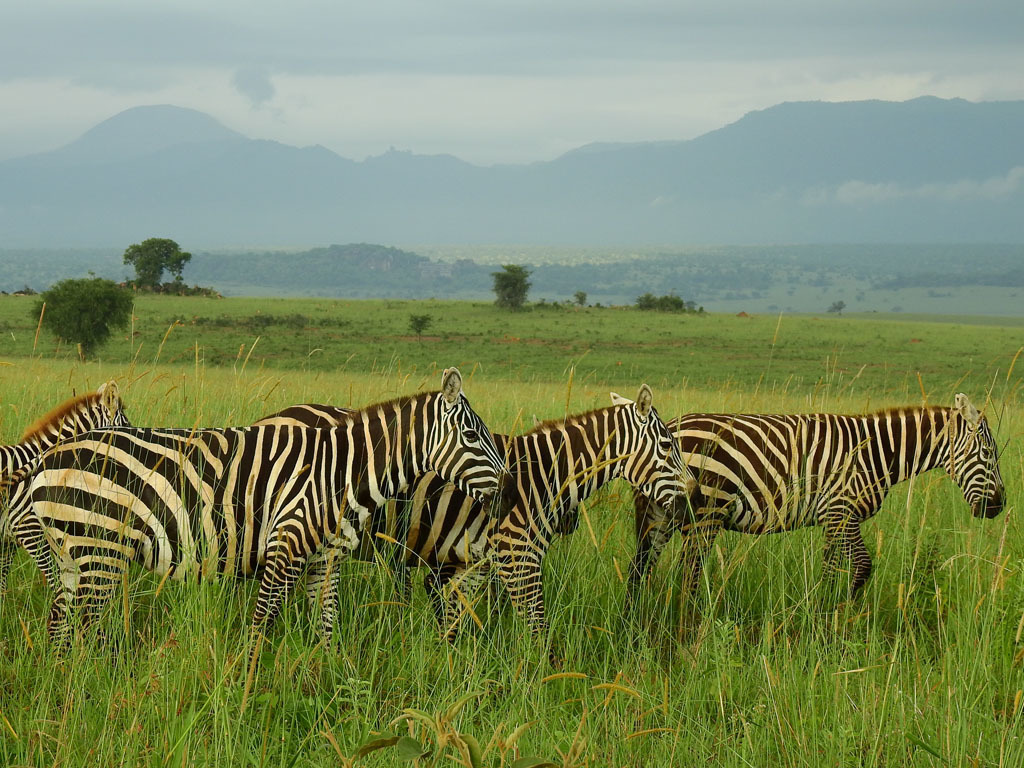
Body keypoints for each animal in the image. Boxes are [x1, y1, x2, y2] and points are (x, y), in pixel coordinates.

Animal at [28, 368, 507, 648]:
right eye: (470, 436)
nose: (507, 488)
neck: (340, 472)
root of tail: (44, 463)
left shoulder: (324, 560)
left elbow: (328, 628)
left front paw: (333, 690)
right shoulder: (285, 547)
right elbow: (261, 624)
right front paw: (244, 692)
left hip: (72, 557)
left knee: (59, 623)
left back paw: (63, 687)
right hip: (100, 553)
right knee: (83, 627)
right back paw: (90, 692)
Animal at [257, 385, 696, 639]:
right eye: (668, 445)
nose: (692, 499)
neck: (542, 474)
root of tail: (272, 416)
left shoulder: (470, 563)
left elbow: (456, 626)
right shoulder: (516, 555)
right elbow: (536, 629)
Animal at [627, 394, 1006, 602]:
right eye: (989, 453)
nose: (998, 506)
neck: (876, 454)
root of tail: (670, 427)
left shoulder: (833, 519)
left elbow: (830, 568)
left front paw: (820, 609)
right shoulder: (843, 511)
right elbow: (862, 568)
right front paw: (839, 617)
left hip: (663, 515)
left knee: (640, 570)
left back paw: (637, 626)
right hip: (704, 516)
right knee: (688, 575)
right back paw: (688, 628)